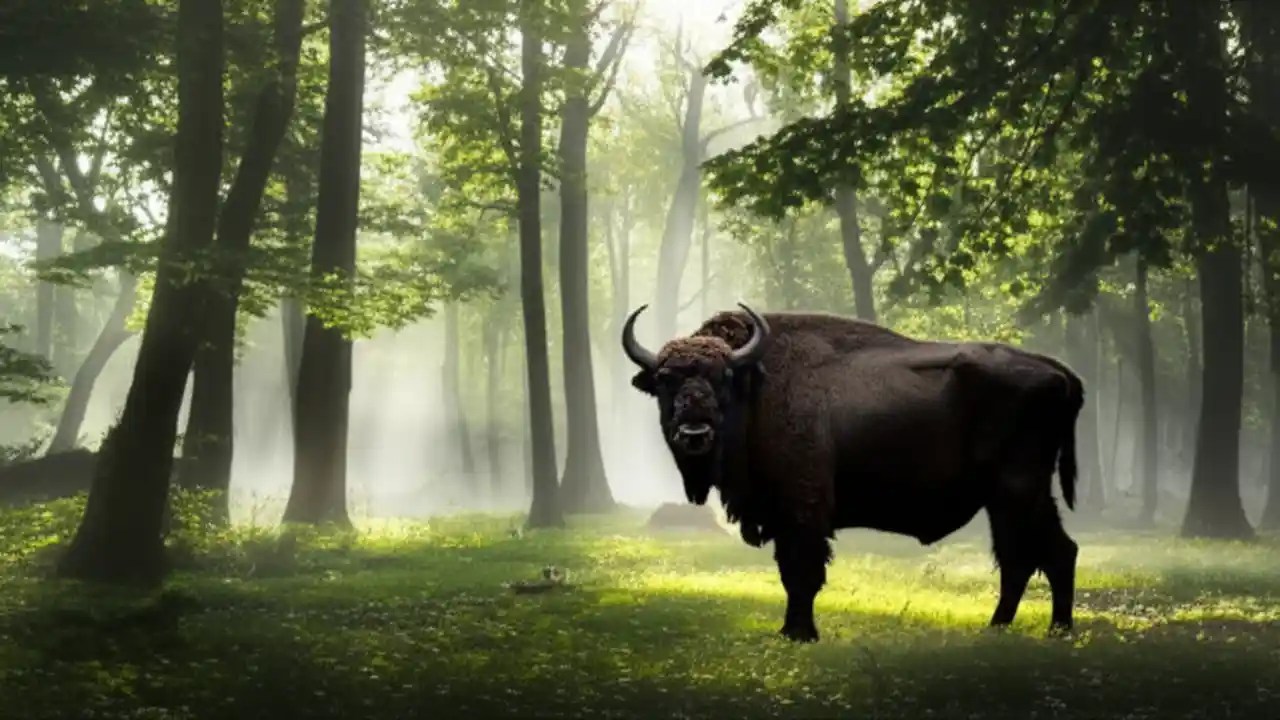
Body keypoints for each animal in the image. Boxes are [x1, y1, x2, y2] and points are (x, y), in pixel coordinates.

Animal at [622, 304, 1084, 642]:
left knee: (1050, 553)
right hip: (1008, 499)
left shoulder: (801, 511)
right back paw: (1003, 627)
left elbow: (801, 571)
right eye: (665, 380)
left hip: (1018, 491)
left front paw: (800, 633)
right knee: (1024, 557)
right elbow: (791, 573)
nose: (694, 432)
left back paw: (1055, 631)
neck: (758, 387)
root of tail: (1059, 371)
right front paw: (791, 630)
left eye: (723, 377)